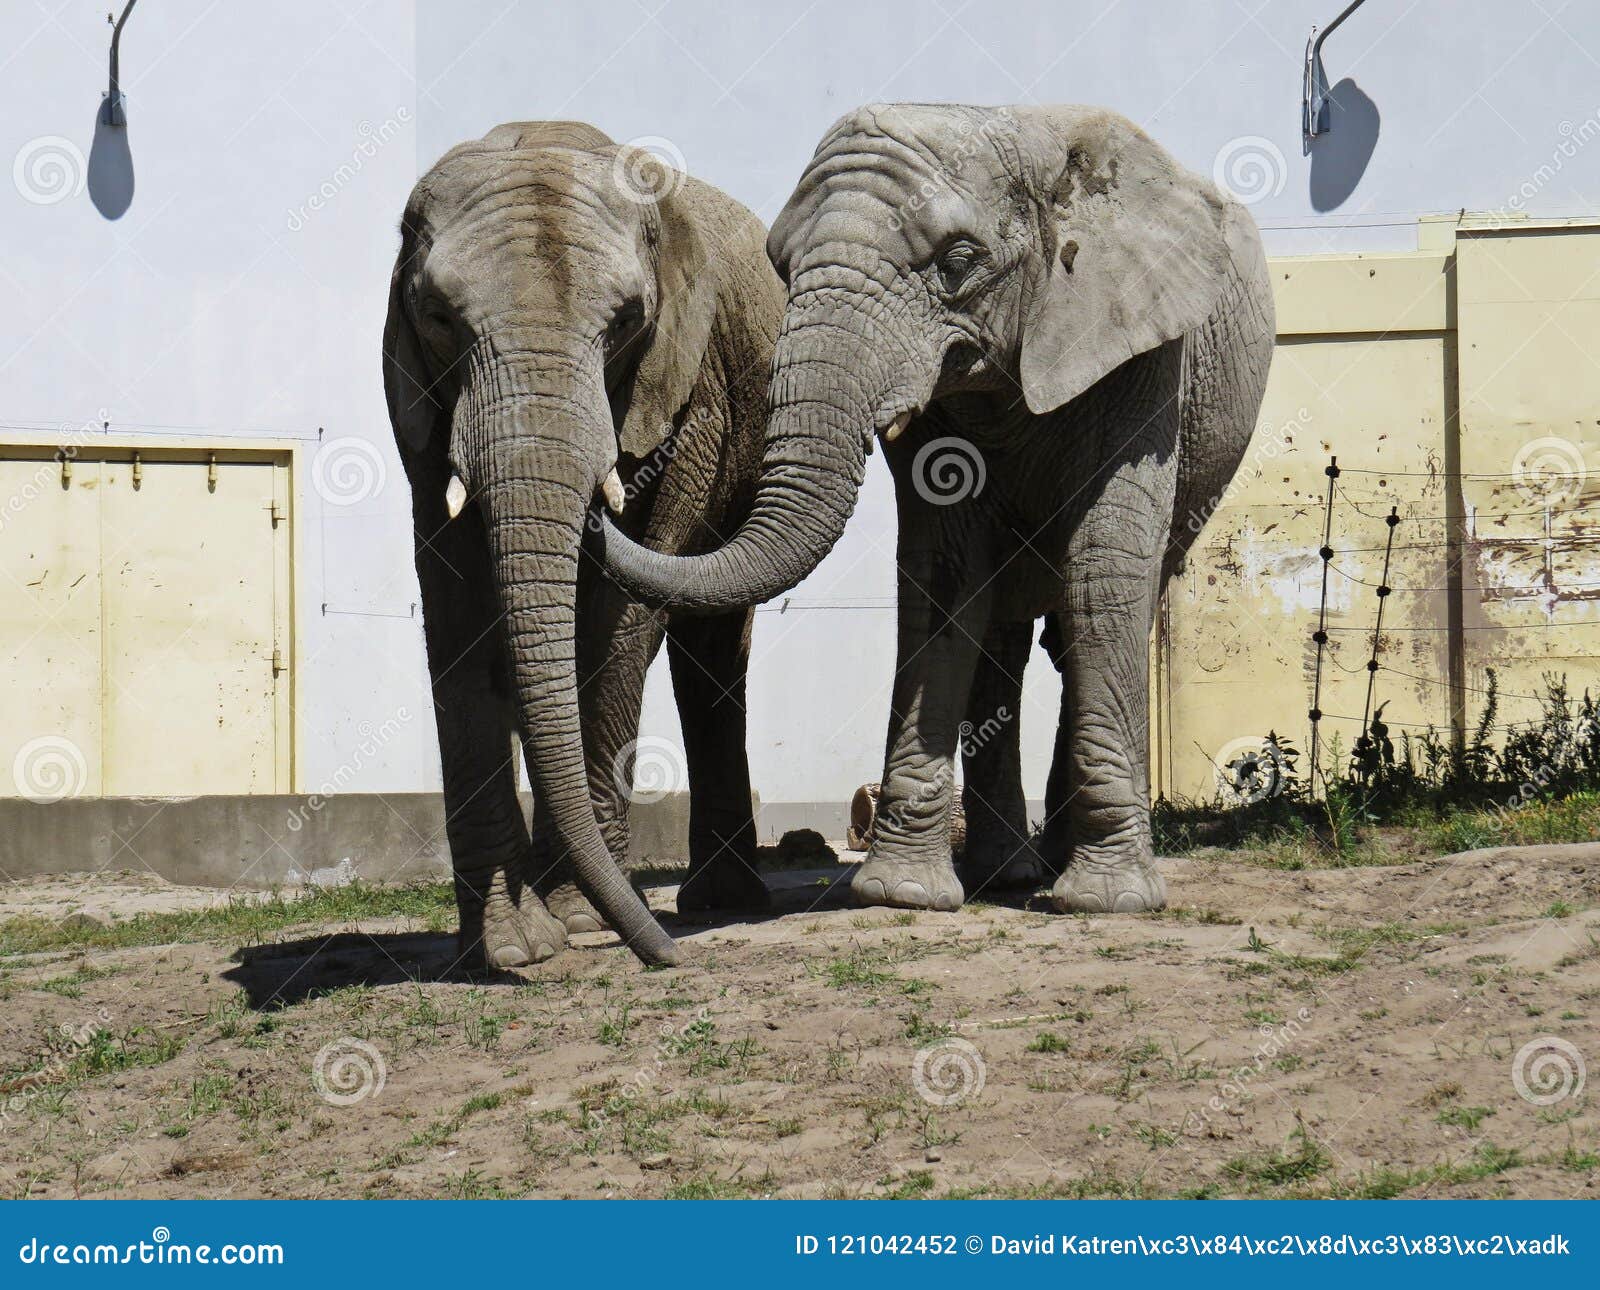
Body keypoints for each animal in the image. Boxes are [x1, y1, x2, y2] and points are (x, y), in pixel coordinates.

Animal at [383, 121, 782, 970]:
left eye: (627, 321)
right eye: (438, 317)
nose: (668, 957)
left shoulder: (687, 394)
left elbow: (616, 627)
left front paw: (579, 925)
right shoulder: (421, 407)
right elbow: (458, 615)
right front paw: (509, 948)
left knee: (709, 646)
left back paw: (713, 902)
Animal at [595, 104, 1275, 917]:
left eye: (958, 261)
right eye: (784, 271)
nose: (605, 482)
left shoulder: (1140, 348)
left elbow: (1104, 573)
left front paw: (1109, 903)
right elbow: (945, 575)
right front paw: (903, 895)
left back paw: (1051, 871)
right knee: (1002, 629)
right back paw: (1005, 875)